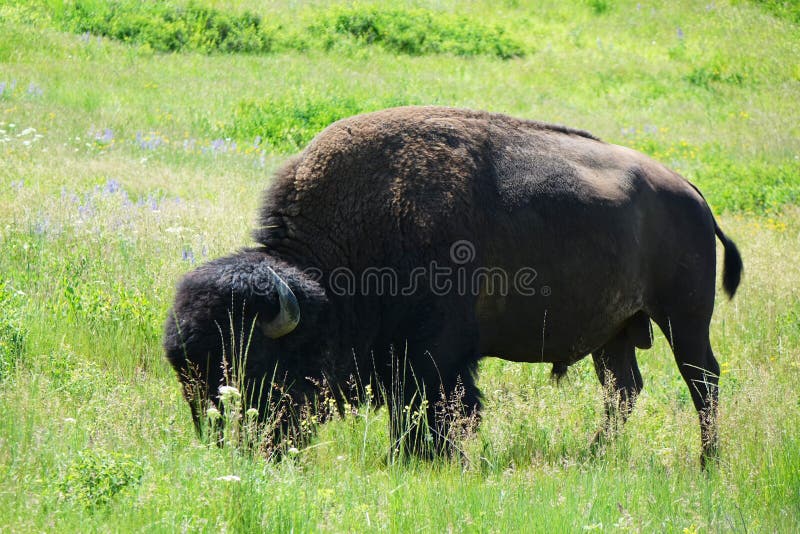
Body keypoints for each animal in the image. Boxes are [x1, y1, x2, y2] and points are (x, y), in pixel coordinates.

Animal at [164, 106, 742, 465]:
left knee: (703, 382)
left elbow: (442, 410)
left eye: (254, 361)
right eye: (185, 374)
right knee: (623, 391)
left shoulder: (437, 357)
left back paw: (707, 462)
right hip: (616, 334)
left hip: (684, 319)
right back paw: (595, 455)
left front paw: (426, 459)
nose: (235, 447)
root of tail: (693, 194)